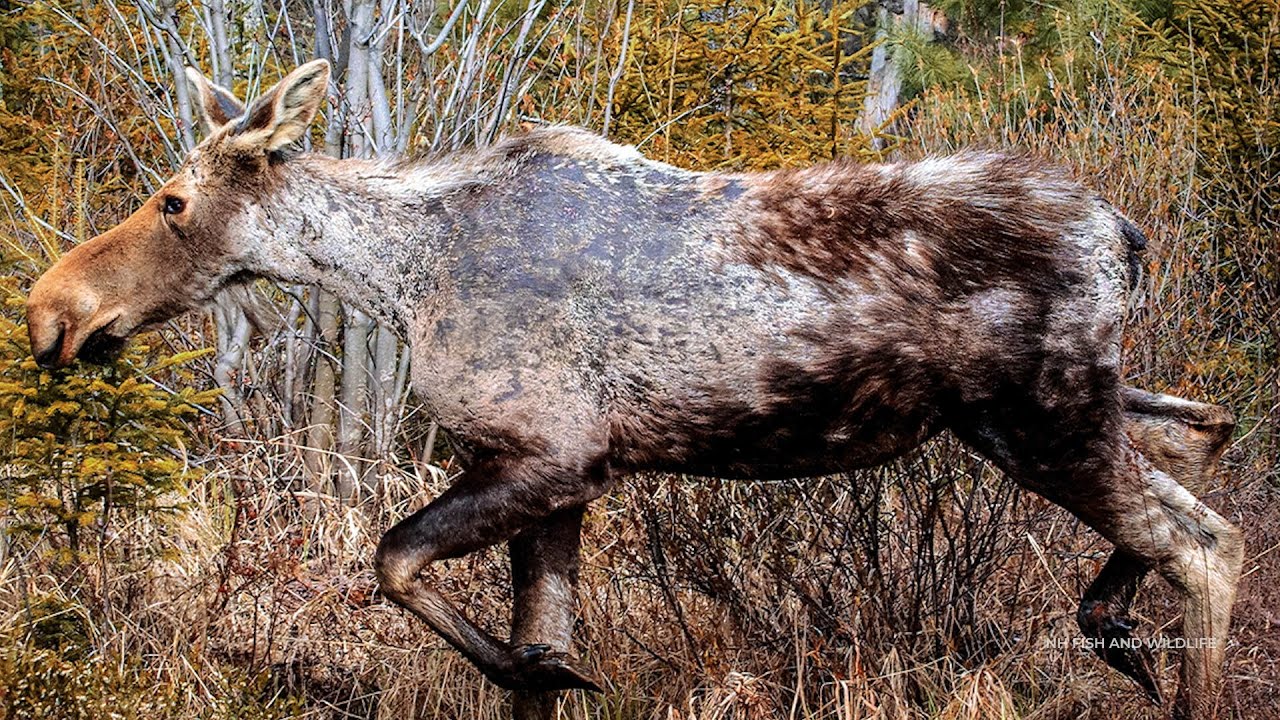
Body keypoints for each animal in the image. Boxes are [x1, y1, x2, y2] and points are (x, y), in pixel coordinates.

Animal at [24, 60, 1242, 720]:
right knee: (1205, 446)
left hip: (1040, 417)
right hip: (1069, 407)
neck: (401, 277)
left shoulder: (550, 453)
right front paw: (546, 665)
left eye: (173, 202)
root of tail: (1128, 236)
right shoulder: (563, 479)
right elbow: (523, 654)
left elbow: (393, 560)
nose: (50, 312)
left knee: (1207, 544)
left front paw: (557, 670)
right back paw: (1114, 620)